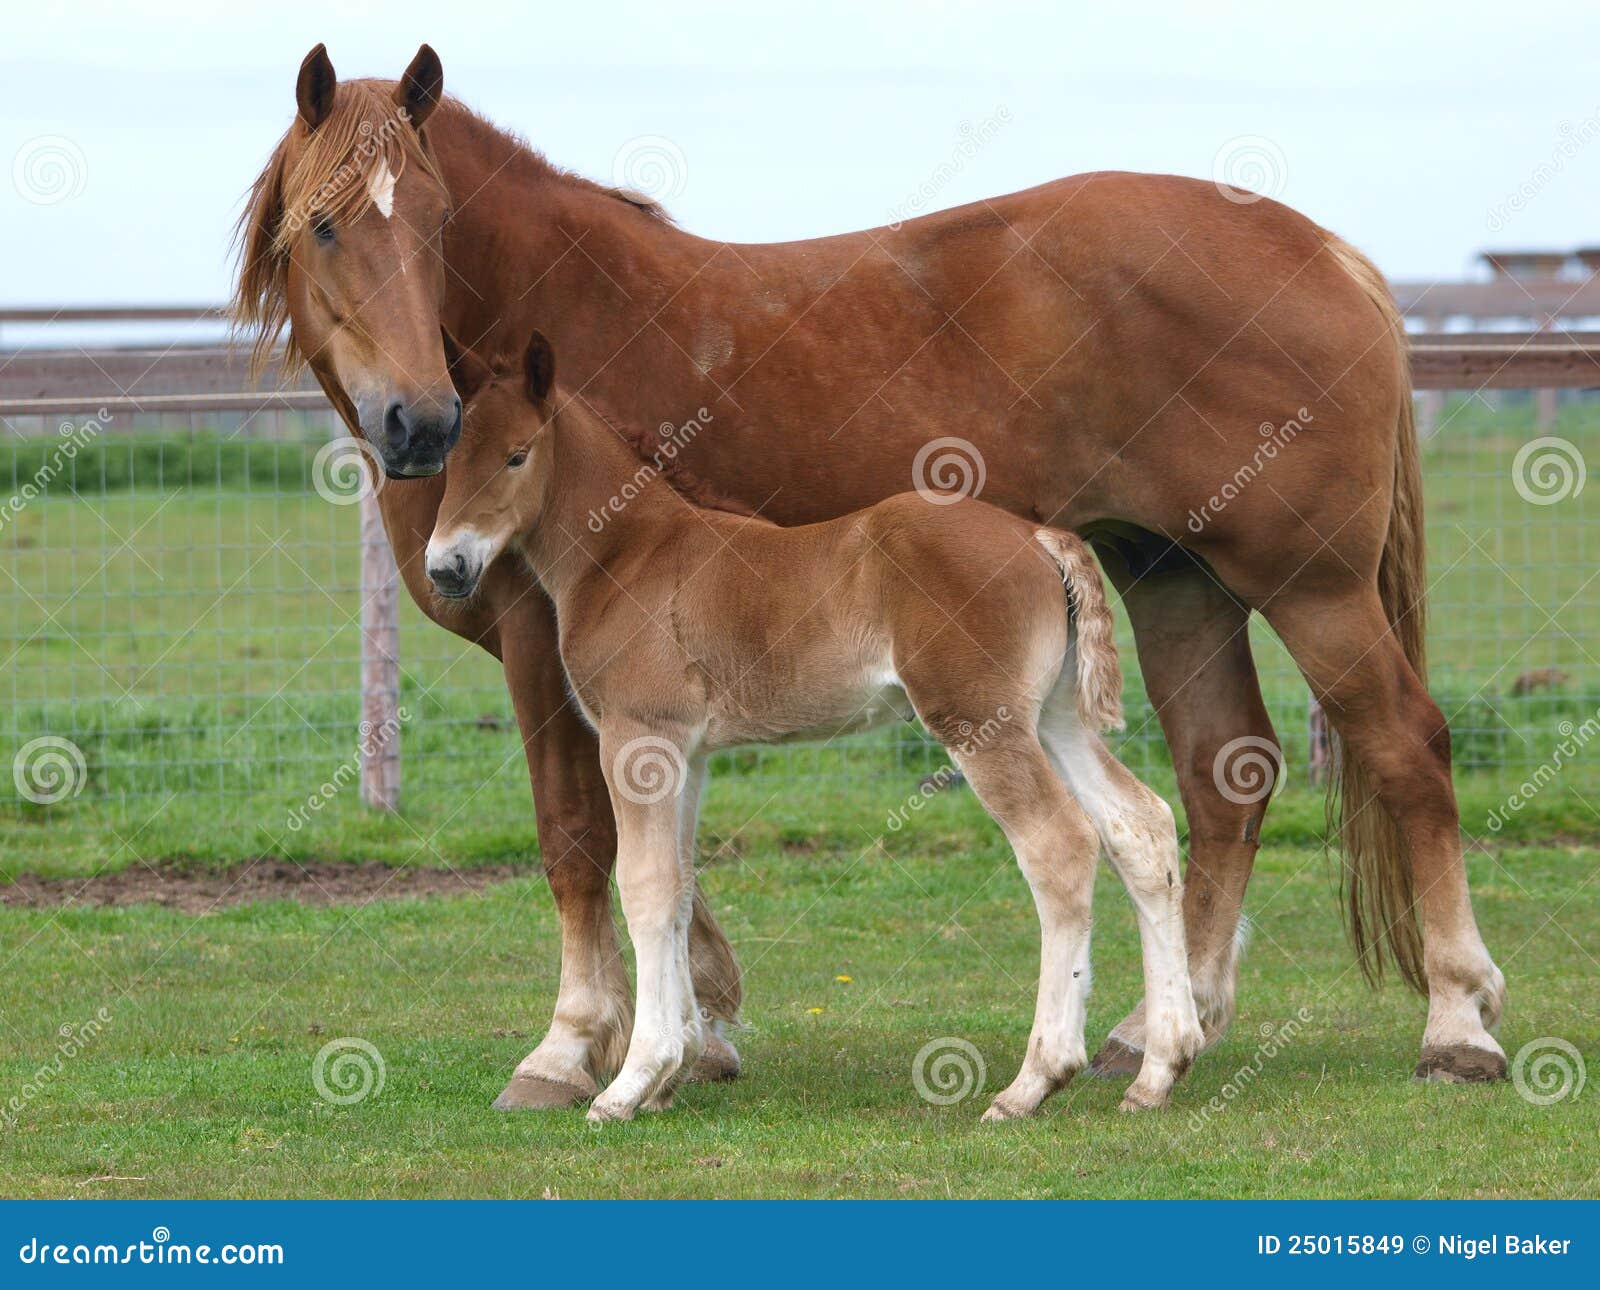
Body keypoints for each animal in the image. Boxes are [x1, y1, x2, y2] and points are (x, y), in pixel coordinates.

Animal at [426, 325, 1203, 1121]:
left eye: (518, 454)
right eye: (449, 457)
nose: (446, 568)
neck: (629, 554)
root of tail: (1042, 538)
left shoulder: (638, 737)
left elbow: (645, 891)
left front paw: (631, 1084)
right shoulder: (687, 755)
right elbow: (679, 890)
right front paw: (672, 1071)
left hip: (981, 721)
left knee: (1060, 847)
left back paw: (1034, 1080)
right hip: (1053, 717)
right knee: (1139, 827)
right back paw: (1159, 1069)